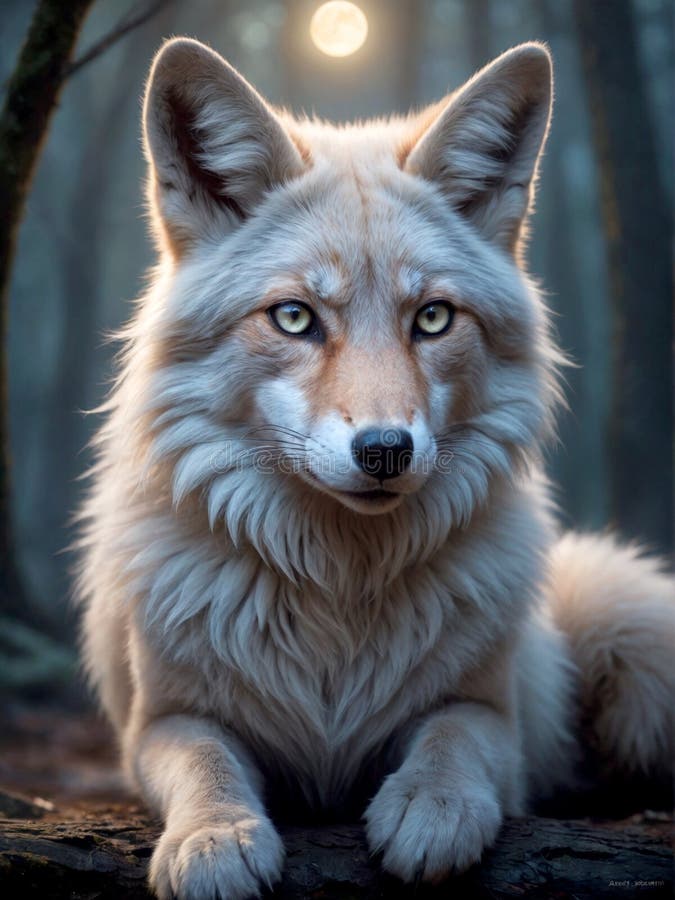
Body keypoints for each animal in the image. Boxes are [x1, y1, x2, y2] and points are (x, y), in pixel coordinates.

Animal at [78, 38, 674, 899]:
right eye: (294, 317)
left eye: (432, 318)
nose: (386, 448)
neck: (337, 592)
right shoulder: (158, 721)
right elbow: (204, 760)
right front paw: (215, 839)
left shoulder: (492, 713)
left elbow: (454, 738)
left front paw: (430, 810)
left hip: (628, 646)